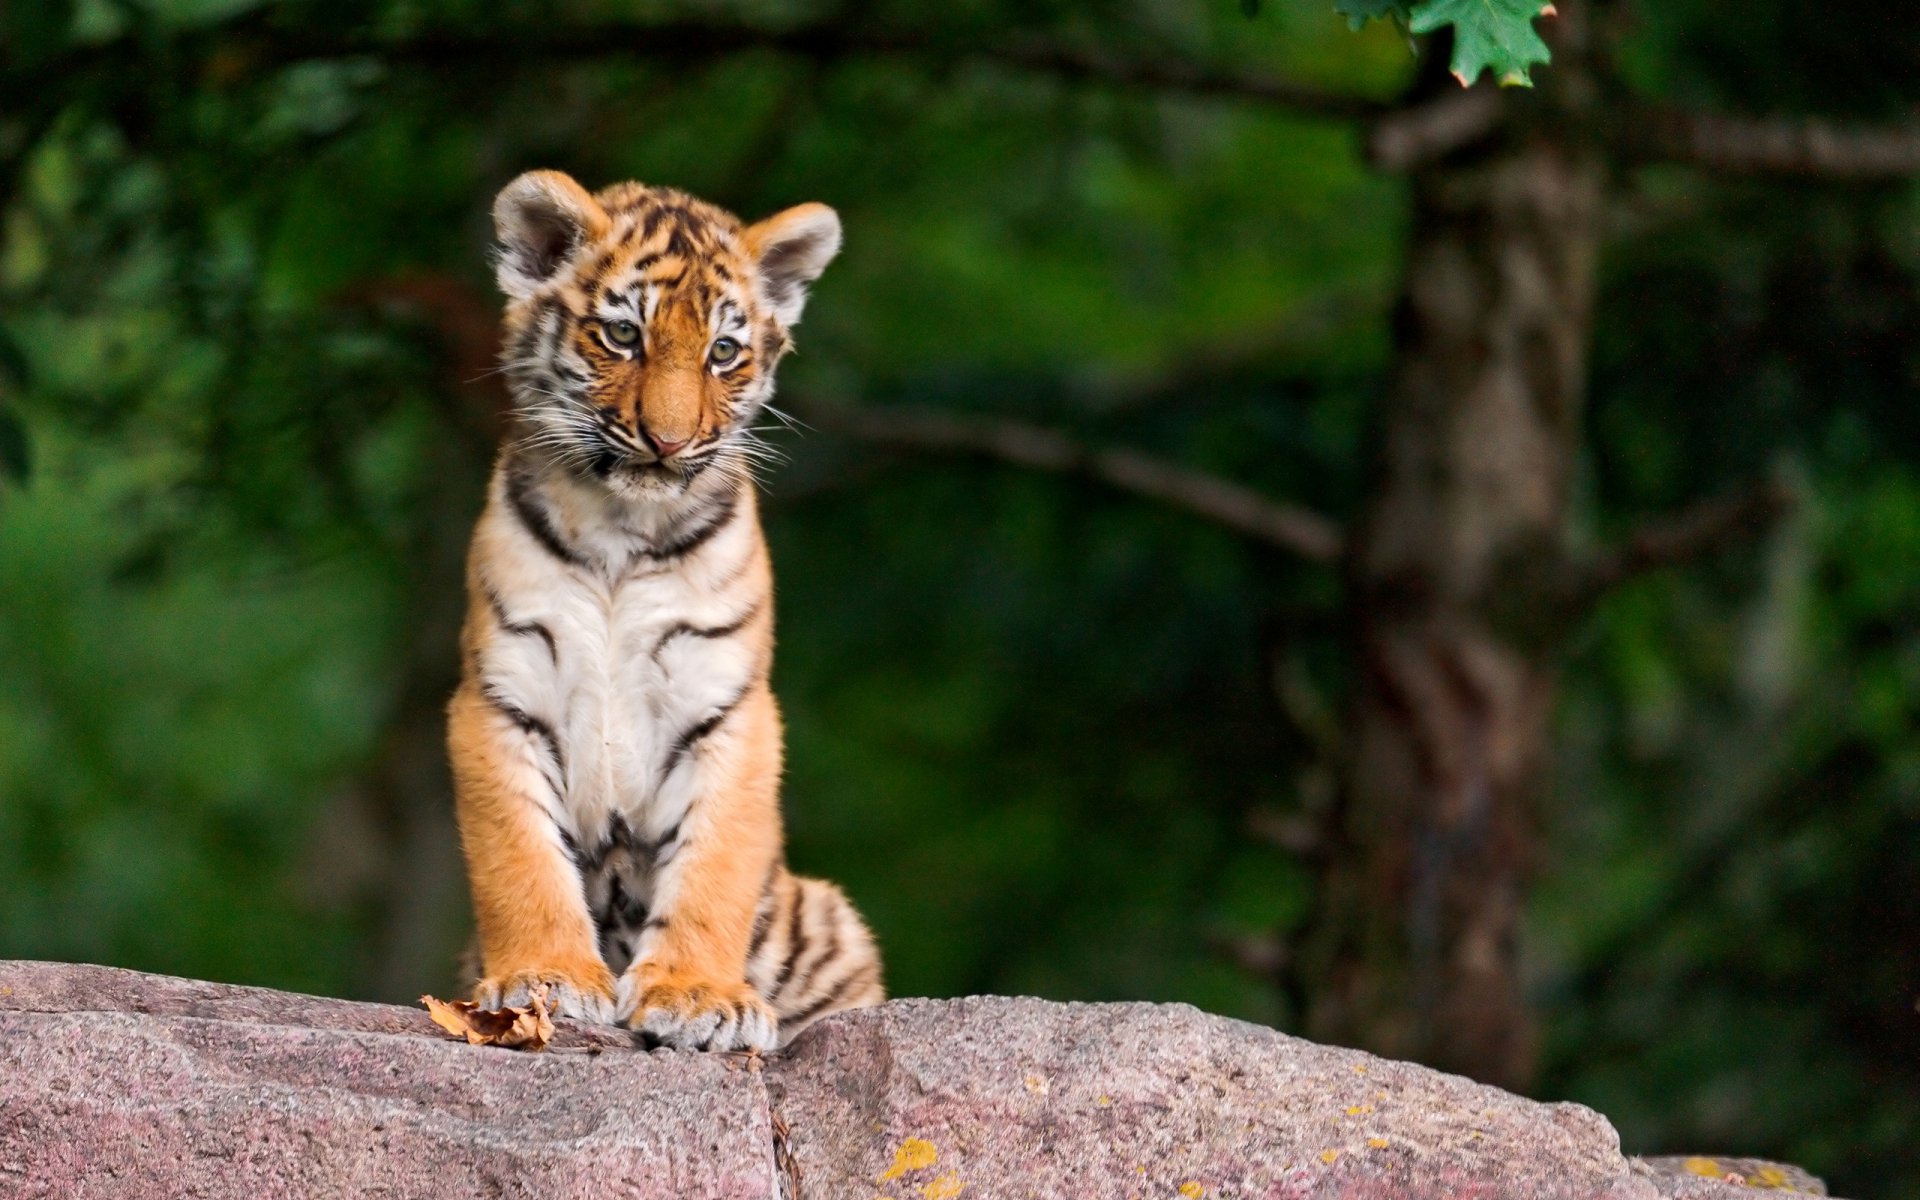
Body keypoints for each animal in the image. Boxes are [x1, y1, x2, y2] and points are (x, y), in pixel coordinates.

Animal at [447, 170, 883, 1051]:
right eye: (622, 335)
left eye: (723, 352)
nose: (669, 442)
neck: (623, 529)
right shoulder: (497, 699)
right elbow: (519, 858)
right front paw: (545, 976)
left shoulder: (730, 711)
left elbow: (714, 866)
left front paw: (696, 996)